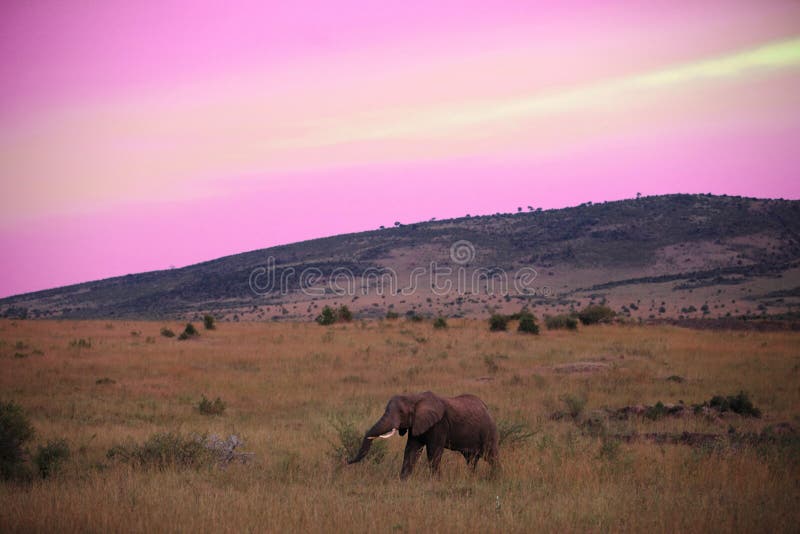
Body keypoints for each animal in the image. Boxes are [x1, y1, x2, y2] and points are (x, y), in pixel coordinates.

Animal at [348, 391, 500, 478]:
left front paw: (435, 481)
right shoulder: (416, 424)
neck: (414, 397)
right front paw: (403, 481)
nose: (348, 461)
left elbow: (433, 452)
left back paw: (496, 478)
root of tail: (487, 409)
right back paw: (471, 478)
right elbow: (411, 450)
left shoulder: (439, 424)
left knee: (491, 456)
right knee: (471, 459)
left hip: (489, 431)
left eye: (401, 412)